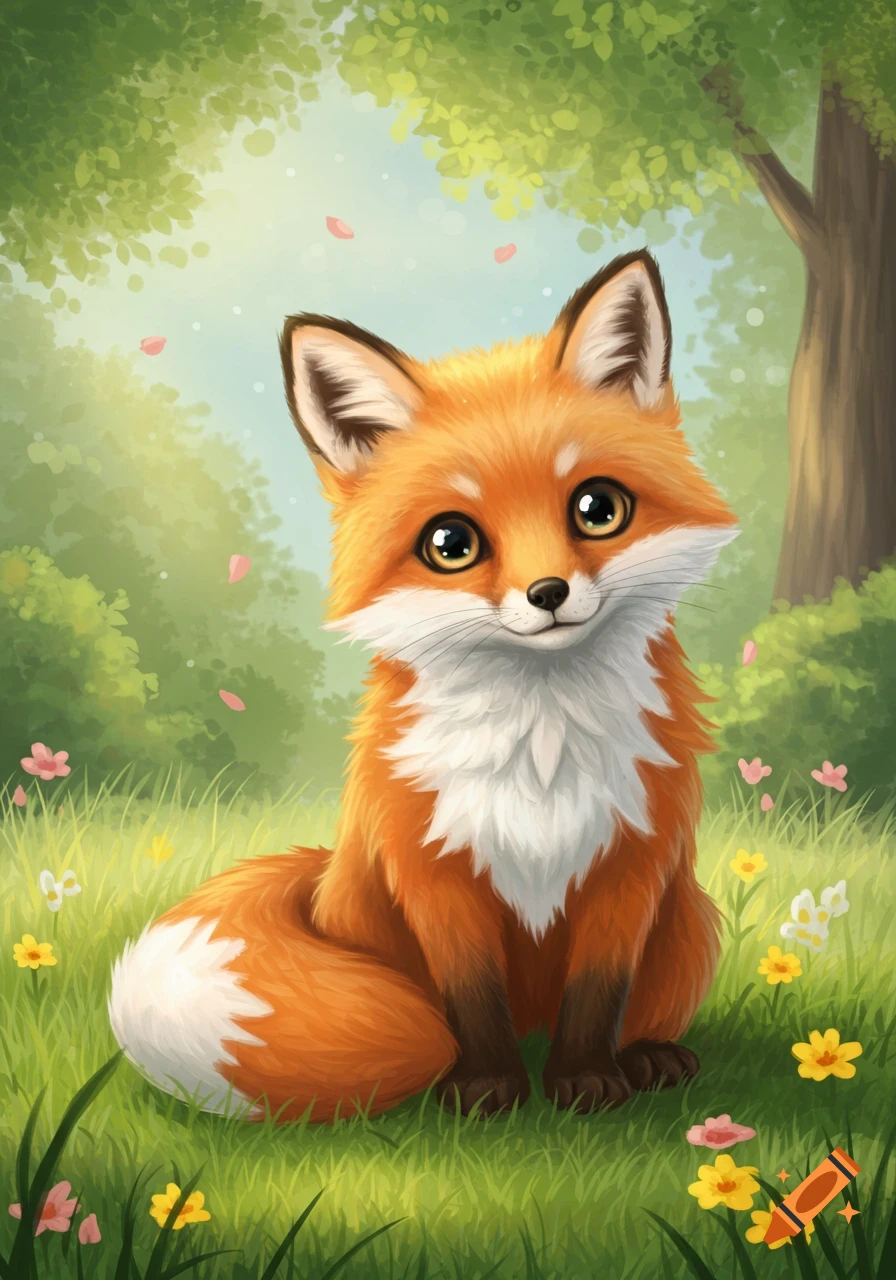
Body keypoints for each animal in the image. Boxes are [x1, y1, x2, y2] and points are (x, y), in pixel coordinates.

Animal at [108, 249, 738, 1123]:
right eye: (451, 543)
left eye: (598, 507)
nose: (548, 593)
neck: (542, 750)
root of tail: (320, 876)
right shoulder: (433, 868)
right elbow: (469, 997)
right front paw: (486, 1088)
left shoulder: (630, 864)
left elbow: (597, 994)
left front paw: (586, 1079)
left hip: (690, 924)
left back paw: (648, 1056)